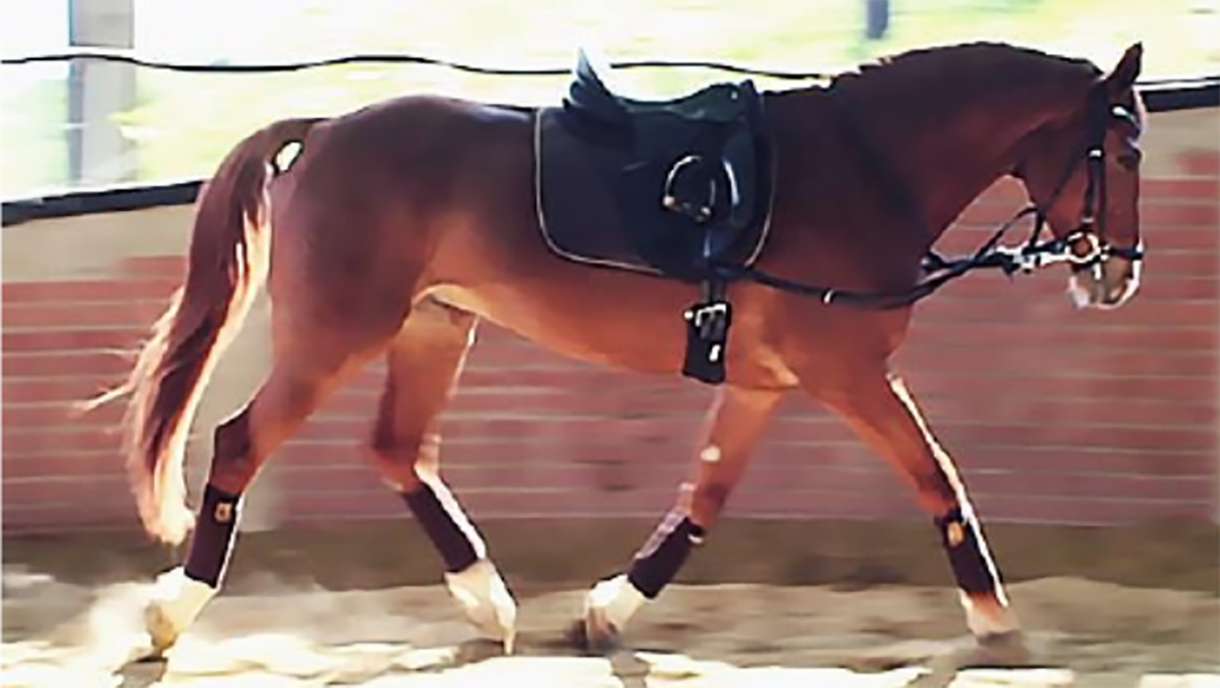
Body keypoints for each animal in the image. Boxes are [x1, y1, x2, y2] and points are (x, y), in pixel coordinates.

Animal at [101, 40, 1146, 663]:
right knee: (243, 441)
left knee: (399, 450)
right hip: (339, 332)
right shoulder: (847, 374)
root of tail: (322, 131)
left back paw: (489, 604)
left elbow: (704, 498)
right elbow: (938, 478)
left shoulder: (765, 383)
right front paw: (994, 619)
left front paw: (607, 611)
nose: (1117, 277)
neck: (857, 170)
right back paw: (170, 612)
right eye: (1121, 152)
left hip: (435, 325)